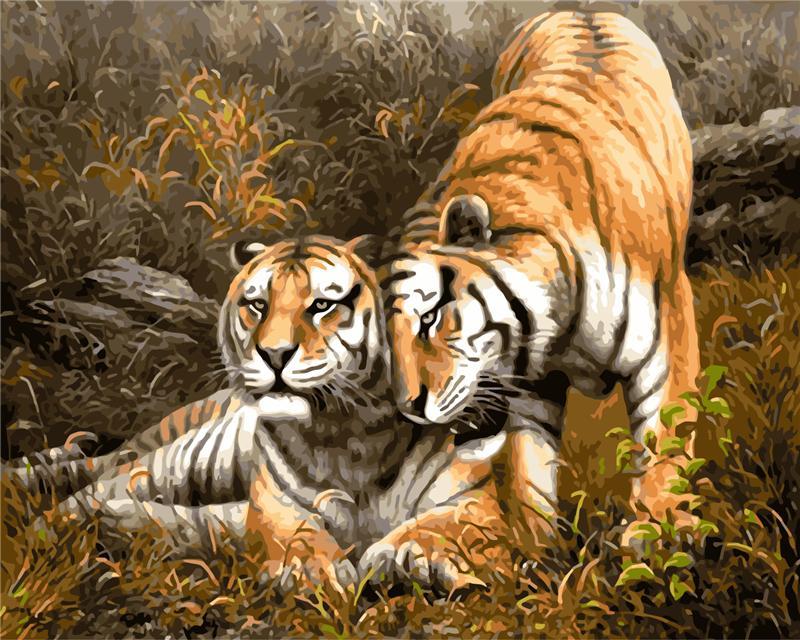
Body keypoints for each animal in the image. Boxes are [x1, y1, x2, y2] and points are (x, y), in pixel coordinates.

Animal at [9, 234, 513, 593]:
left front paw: (410, 556)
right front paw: (312, 571)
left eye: (322, 305)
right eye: (257, 305)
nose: (273, 355)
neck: (349, 435)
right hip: (175, 459)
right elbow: (296, 532)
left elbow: (449, 527)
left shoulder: (474, 497)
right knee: (92, 481)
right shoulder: (275, 498)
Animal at [385, 10, 700, 533]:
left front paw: (660, 533)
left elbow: (665, 447)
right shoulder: (531, 387)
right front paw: (540, 547)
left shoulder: (668, 332)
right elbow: (529, 473)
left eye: (429, 318)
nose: (410, 408)